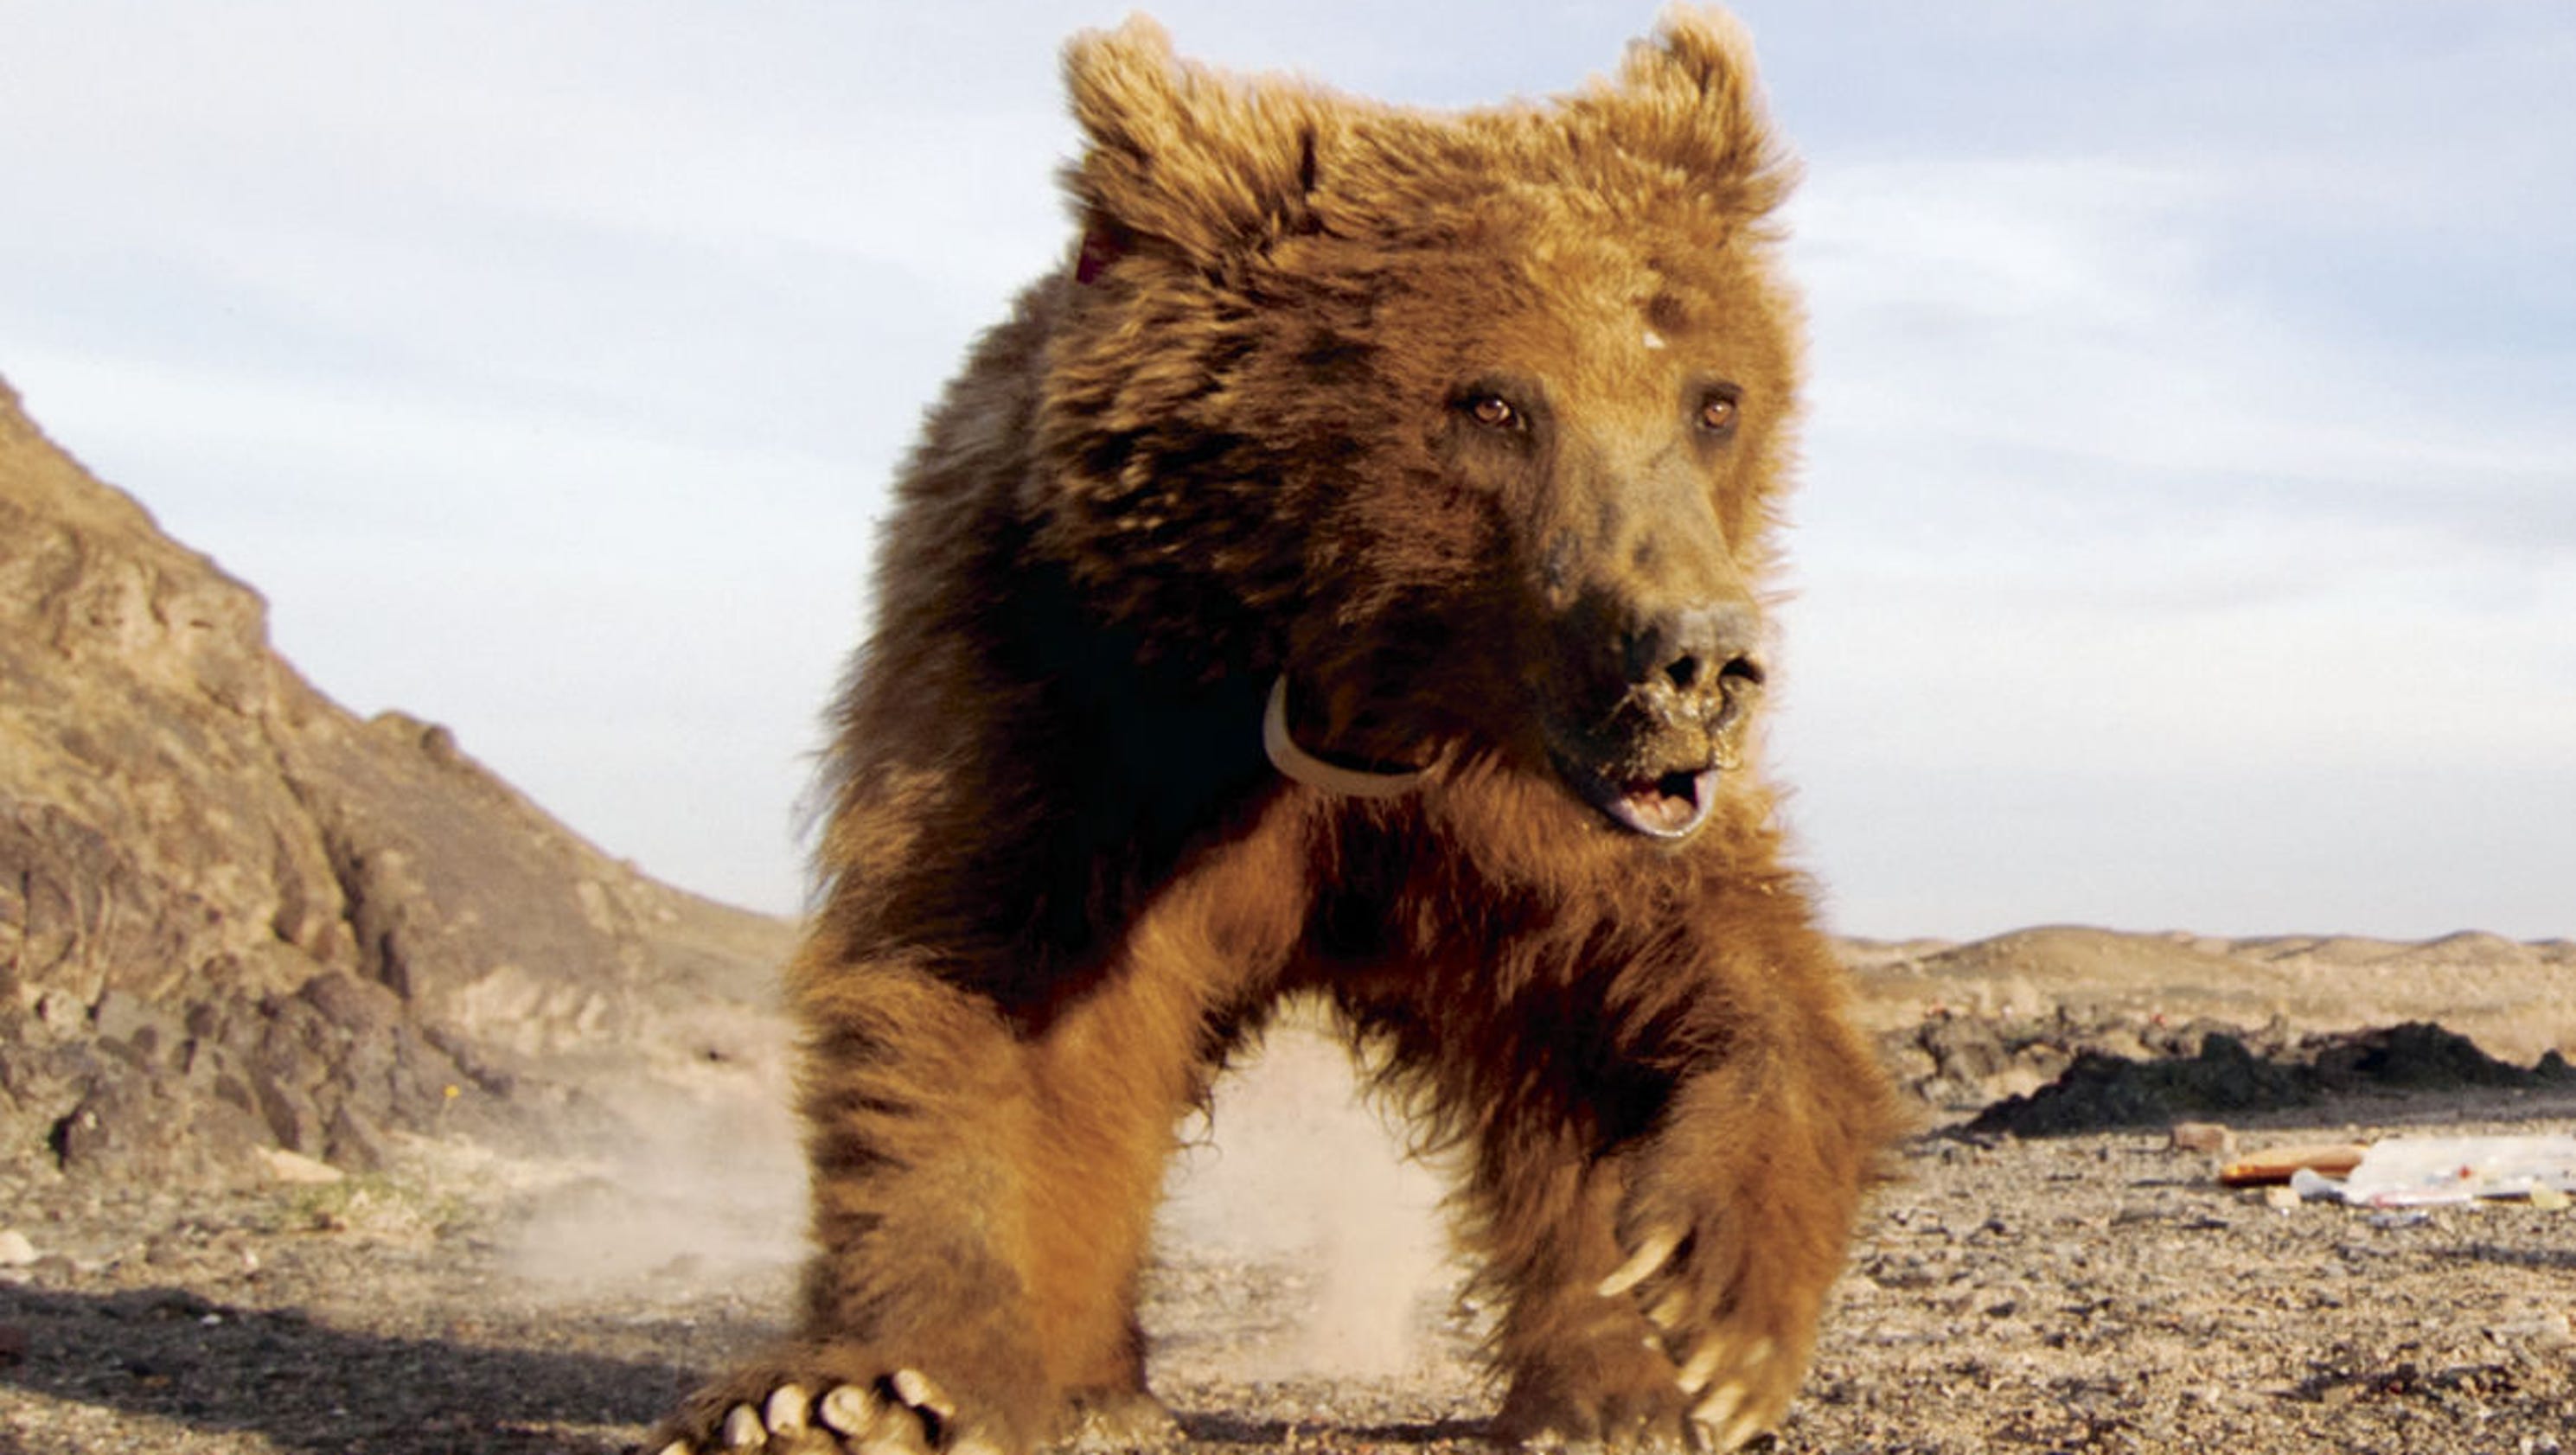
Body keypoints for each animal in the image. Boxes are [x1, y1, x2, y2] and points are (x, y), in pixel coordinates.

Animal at [652, 9, 1897, 1454]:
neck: (1358, 692)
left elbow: (1684, 967)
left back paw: (1608, 1393)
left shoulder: (1530, 801)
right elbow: (979, 995)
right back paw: (1098, 1384)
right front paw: (850, 1394)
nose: (1696, 657)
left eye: (1712, 399)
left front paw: (1708, 1308)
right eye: (1492, 402)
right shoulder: (1074, 698)